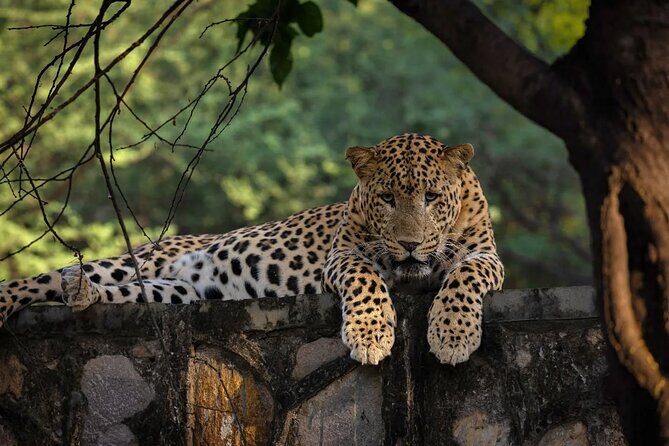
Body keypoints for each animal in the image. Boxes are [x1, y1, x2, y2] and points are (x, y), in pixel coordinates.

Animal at [0, 133, 504, 365]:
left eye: (432, 198)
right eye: (386, 199)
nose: (410, 244)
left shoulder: (486, 257)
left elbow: (463, 278)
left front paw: (453, 336)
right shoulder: (343, 255)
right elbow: (367, 280)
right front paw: (371, 335)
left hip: (177, 293)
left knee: (117, 291)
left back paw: (80, 291)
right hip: (139, 258)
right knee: (39, 280)